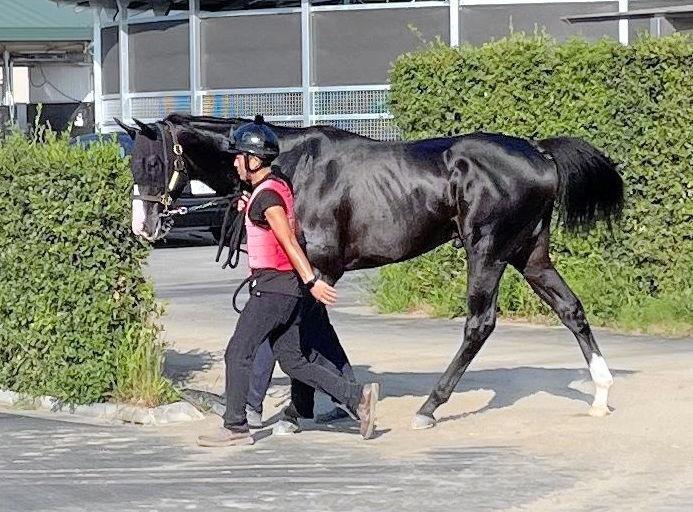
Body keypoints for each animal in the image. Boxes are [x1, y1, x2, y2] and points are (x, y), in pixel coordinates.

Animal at [120, 113, 624, 429]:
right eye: (131, 161)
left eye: (153, 161)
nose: (143, 226)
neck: (292, 166)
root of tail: (539, 152)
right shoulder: (316, 274)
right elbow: (311, 336)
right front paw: (334, 397)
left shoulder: (320, 268)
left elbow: (299, 337)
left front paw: (296, 409)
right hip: (529, 254)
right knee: (571, 309)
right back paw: (601, 393)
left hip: (488, 251)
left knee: (479, 324)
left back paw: (430, 406)